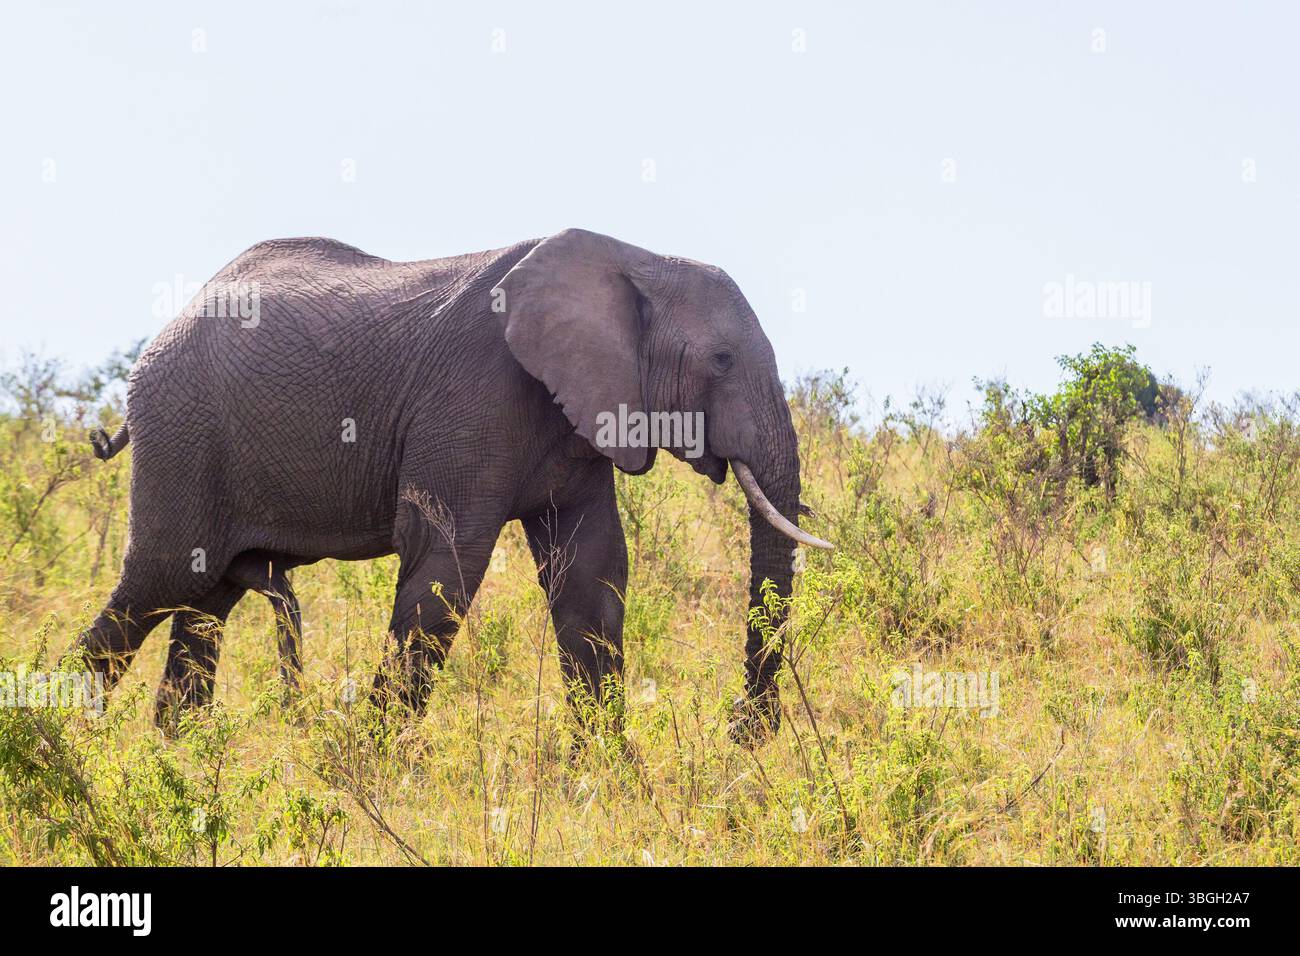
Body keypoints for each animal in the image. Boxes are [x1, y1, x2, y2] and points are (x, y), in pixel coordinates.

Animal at [72, 228, 832, 742]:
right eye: (722, 360)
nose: (744, 727)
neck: (635, 258)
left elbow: (590, 571)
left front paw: (610, 774)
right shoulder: (471, 398)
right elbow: (447, 564)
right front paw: (371, 770)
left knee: (205, 605)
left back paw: (176, 756)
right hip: (182, 431)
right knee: (159, 581)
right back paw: (68, 744)